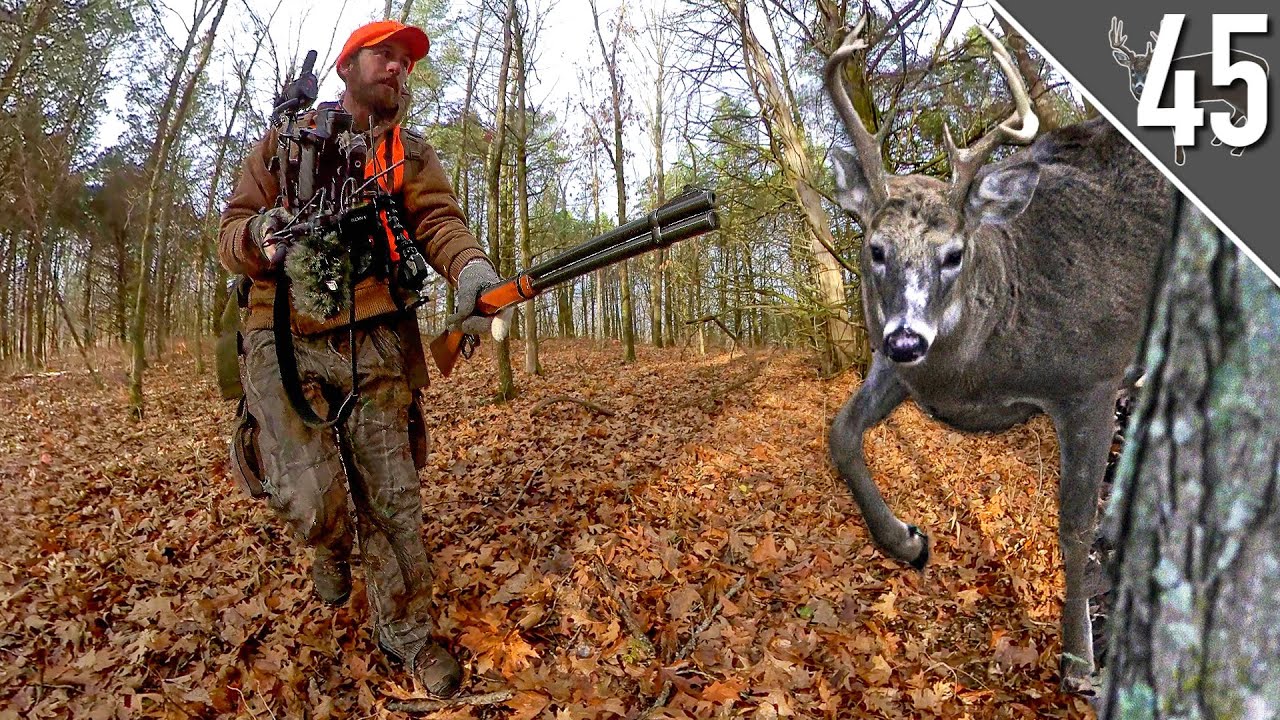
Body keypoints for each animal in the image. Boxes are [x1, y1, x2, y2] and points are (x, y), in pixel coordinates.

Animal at [823, 17, 1174, 691]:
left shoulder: (1092, 379)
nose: (907, 339)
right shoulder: (896, 371)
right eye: (876, 248)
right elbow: (841, 433)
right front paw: (909, 542)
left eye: (954, 253)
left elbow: (1073, 523)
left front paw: (1079, 661)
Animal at [1109, 16, 1270, 165]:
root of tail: (1264, 63)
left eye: (1149, 69)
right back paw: (1218, 141)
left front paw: (1179, 159)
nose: (1139, 87)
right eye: (1132, 70)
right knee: (1239, 112)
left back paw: (1236, 150)